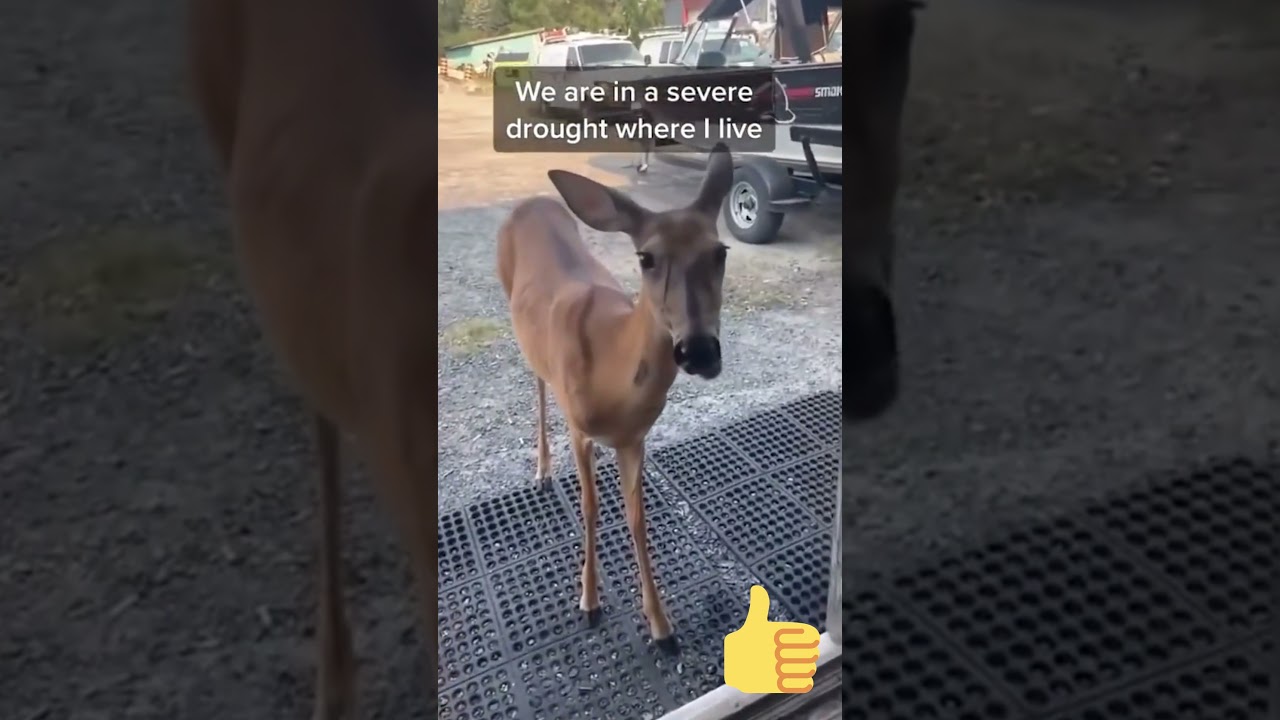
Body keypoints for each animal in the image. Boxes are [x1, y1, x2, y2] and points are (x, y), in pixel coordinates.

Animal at [497, 144, 735, 651]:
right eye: (646, 257)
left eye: (720, 251)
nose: (698, 349)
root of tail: (530, 202)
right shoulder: (580, 428)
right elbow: (590, 508)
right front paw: (588, 602)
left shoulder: (635, 439)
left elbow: (637, 518)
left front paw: (662, 626)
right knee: (539, 383)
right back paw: (542, 471)